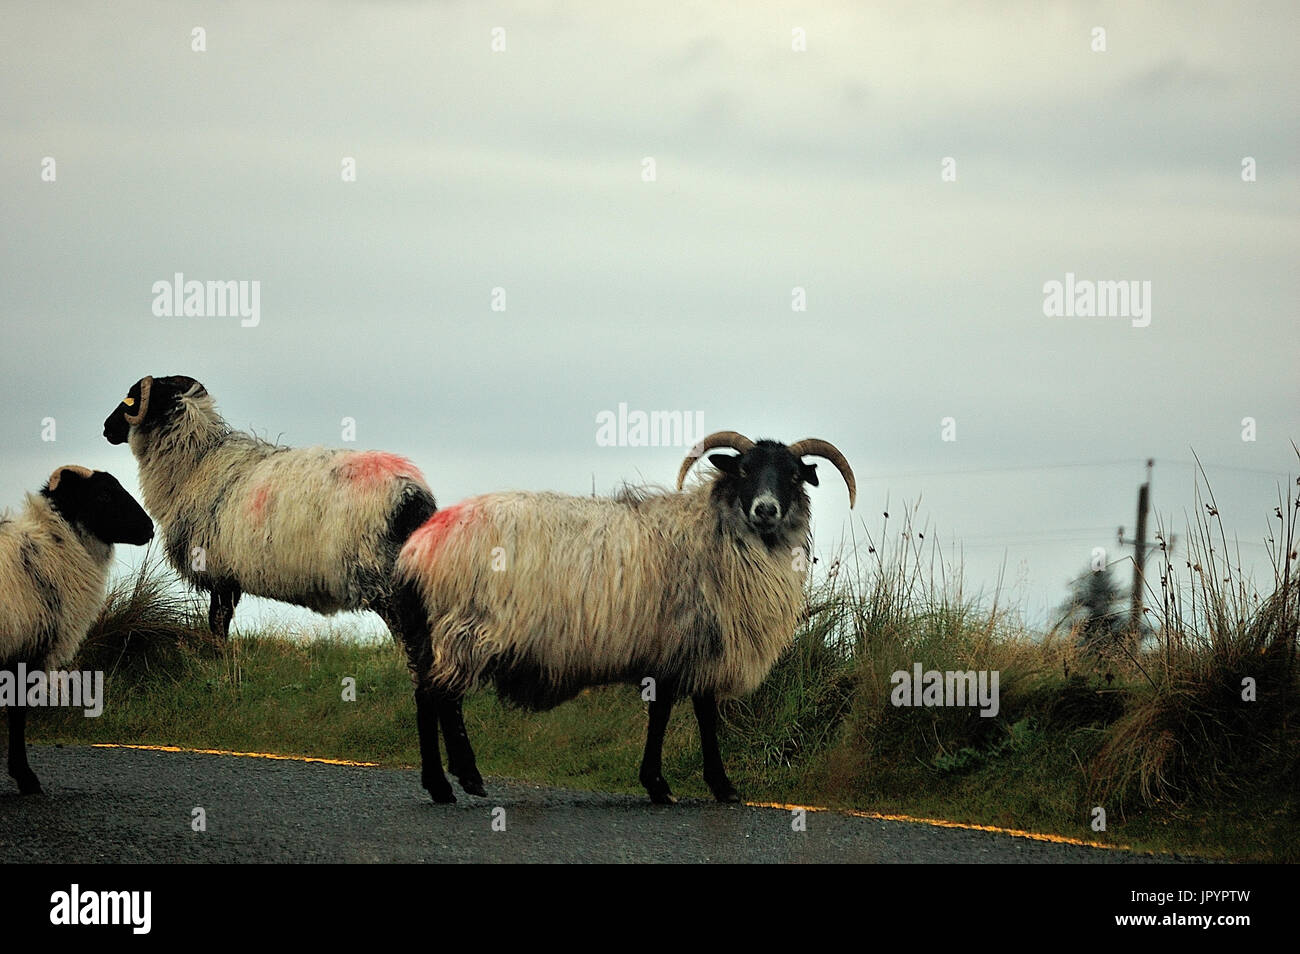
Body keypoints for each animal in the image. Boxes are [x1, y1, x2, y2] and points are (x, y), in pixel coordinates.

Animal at [1, 466, 153, 793]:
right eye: (104, 493)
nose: (149, 528)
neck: (52, 546)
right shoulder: (27, 648)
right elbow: (18, 713)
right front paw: (26, 778)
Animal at [102, 375, 437, 642]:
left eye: (131, 398)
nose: (106, 428)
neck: (196, 463)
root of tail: (413, 495)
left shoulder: (219, 570)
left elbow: (218, 621)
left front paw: (219, 658)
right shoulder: (228, 574)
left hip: (379, 575)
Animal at [391, 430, 856, 804]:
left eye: (794, 476)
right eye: (743, 470)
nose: (765, 509)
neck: (717, 534)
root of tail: (419, 544)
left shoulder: (684, 648)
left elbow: (679, 714)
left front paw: (679, 785)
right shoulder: (685, 644)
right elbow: (685, 715)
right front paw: (689, 786)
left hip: (440, 630)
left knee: (431, 696)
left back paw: (449, 782)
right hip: (468, 625)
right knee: (438, 698)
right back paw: (456, 781)